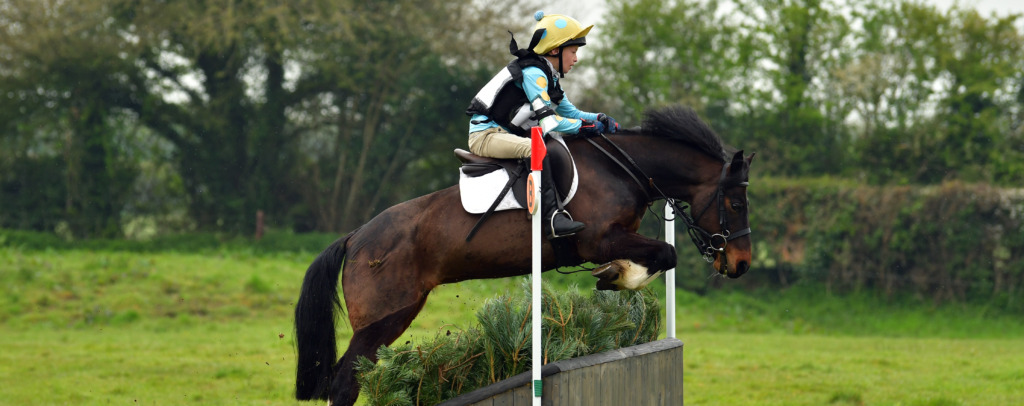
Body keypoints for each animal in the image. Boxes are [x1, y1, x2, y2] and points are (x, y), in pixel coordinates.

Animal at [294, 105, 755, 406]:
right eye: (735, 204)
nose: (741, 264)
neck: (622, 169)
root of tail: (356, 237)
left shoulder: (620, 236)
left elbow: (658, 255)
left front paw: (615, 274)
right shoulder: (600, 239)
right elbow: (666, 252)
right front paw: (617, 275)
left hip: (396, 314)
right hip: (383, 317)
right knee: (344, 382)